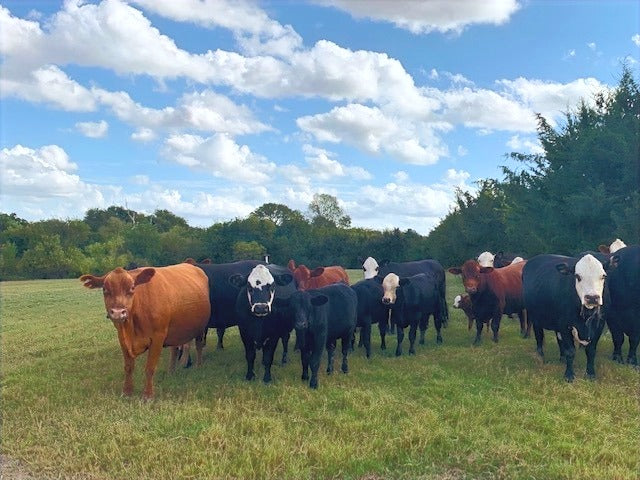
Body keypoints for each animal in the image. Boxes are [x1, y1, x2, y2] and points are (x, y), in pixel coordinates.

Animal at [79, 263, 210, 399]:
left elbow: (150, 368)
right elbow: (128, 367)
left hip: (201, 327)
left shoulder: (158, 338)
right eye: (104, 289)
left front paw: (148, 395)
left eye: (132, 287)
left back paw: (198, 366)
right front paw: (127, 392)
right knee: (174, 350)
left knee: (199, 345)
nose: (118, 312)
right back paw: (171, 371)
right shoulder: (122, 339)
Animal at [523, 253, 610, 382]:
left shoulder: (599, 324)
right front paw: (569, 375)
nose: (592, 298)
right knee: (539, 336)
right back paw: (540, 356)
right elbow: (570, 351)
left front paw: (590, 374)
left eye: (603, 276)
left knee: (559, 339)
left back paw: (562, 358)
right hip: (535, 316)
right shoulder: (564, 324)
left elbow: (591, 351)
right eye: (577, 276)